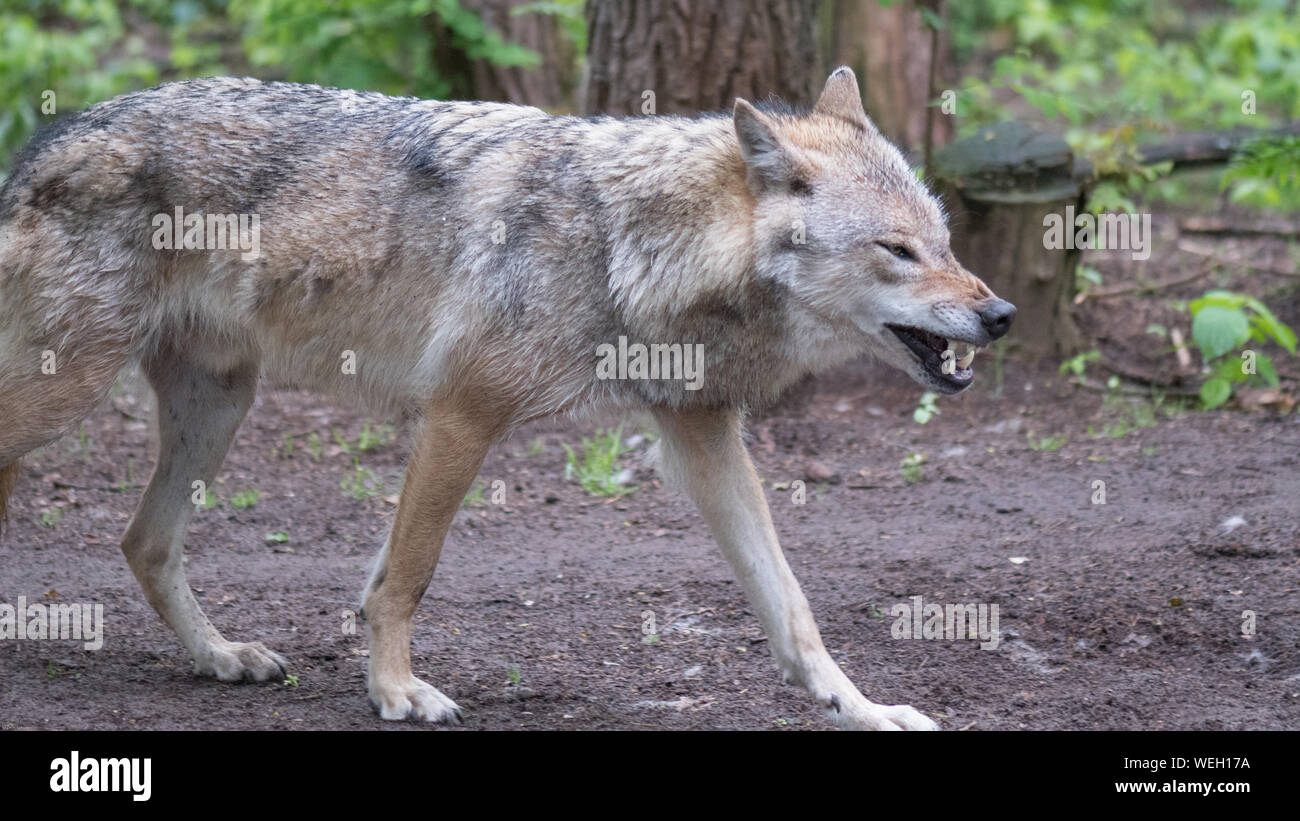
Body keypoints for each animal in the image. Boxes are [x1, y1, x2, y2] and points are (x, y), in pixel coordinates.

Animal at [0, 67, 1013, 730]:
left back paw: (218, 657)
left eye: (944, 239)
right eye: (897, 251)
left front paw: (862, 706)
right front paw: (397, 692)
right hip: (71, 395)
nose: (999, 314)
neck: (626, 244)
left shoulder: (702, 432)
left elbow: (791, 603)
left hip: (217, 408)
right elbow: (404, 576)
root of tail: (47, 138)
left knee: (143, 540)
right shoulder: (463, 411)